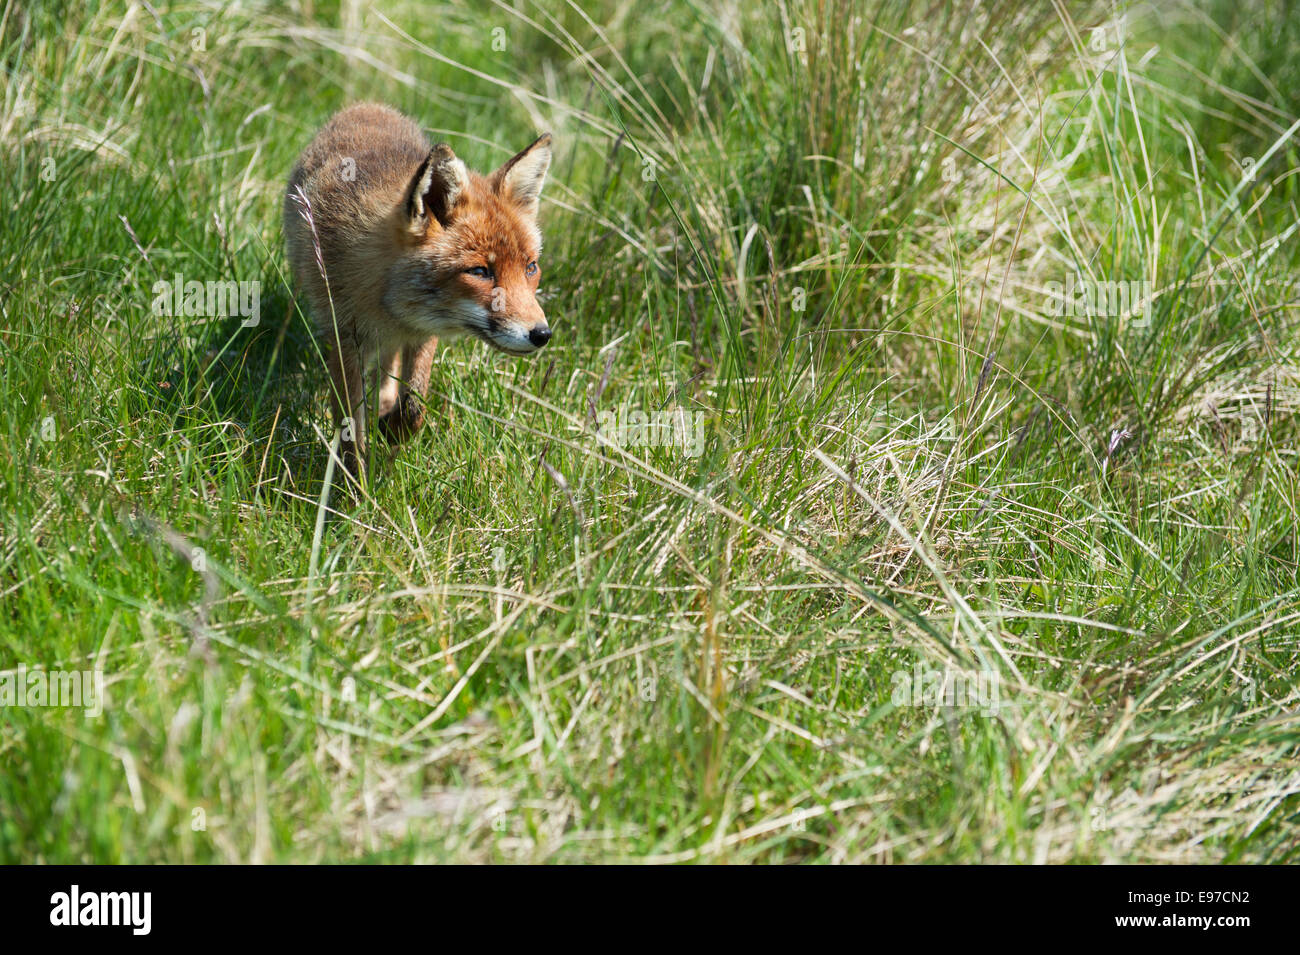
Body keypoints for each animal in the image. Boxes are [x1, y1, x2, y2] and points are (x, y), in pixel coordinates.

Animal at [283, 102, 552, 480]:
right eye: (480, 271)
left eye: (530, 267)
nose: (542, 334)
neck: (389, 303)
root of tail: (367, 105)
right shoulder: (344, 339)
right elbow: (351, 430)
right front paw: (354, 487)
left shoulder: (424, 332)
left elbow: (414, 406)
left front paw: (391, 429)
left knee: (389, 370)